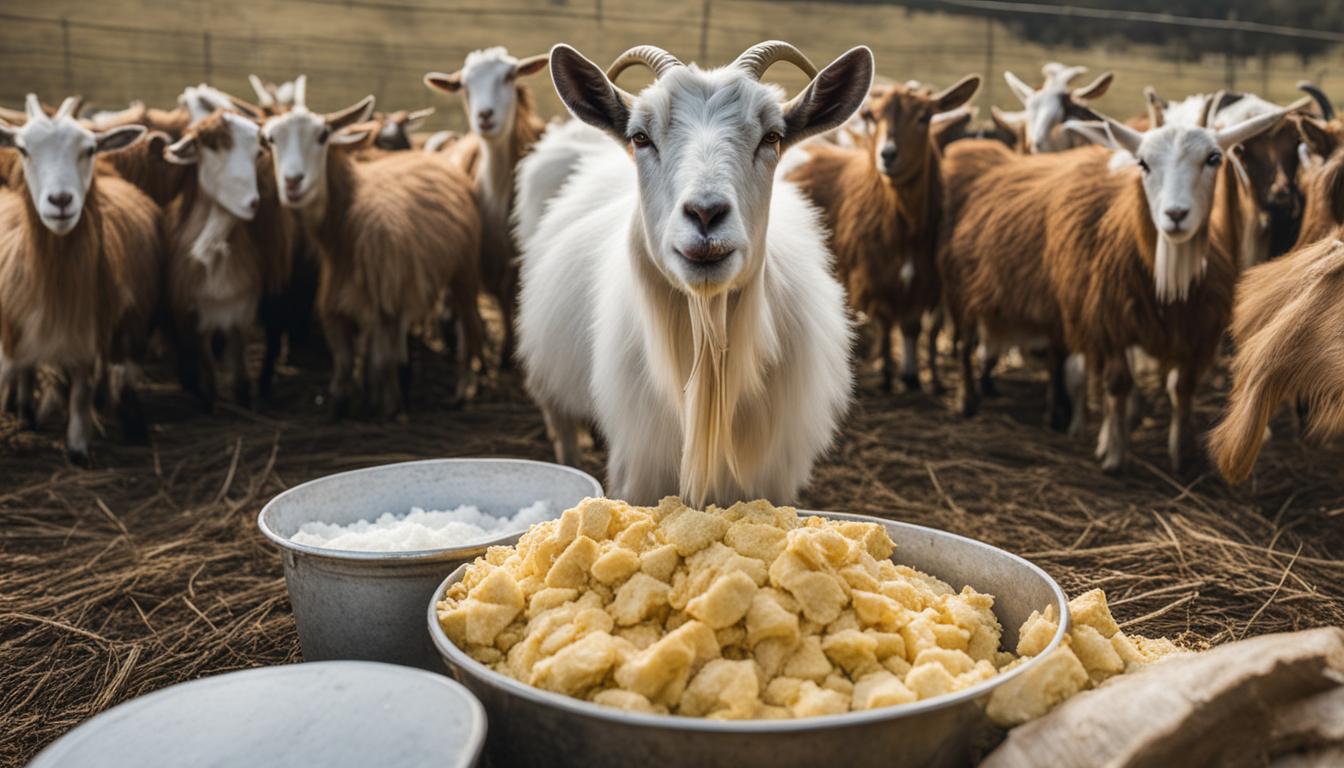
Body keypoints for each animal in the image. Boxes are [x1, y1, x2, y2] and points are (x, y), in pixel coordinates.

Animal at [0, 96, 162, 464]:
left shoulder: (86, 341)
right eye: (23, 149)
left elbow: (80, 401)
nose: (60, 201)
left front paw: (78, 448)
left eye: (90, 149)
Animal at [262, 94, 484, 417]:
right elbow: (344, 361)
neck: (349, 223)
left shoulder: (384, 301)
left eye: (322, 136)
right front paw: (342, 404)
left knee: (469, 327)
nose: (292, 182)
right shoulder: (337, 305)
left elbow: (379, 359)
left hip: (464, 270)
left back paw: (462, 389)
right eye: (271, 140)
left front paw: (389, 408)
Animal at [426, 47, 549, 368]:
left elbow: (509, 304)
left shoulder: (514, 268)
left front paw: (508, 354)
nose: (485, 115)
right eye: (463, 85)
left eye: (509, 76)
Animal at [516, 41, 870, 505]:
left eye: (772, 137)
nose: (705, 213)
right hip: (549, 376)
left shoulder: (775, 477)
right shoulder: (641, 469)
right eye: (640, 137)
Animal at [788, 75, 980, 394]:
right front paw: (888, 375)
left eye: (924, 117)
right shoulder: (869, 276)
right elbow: (886, 322)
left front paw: (911, 376)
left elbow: (912, 326)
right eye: (870, 116)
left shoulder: (924, 279)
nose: (887, 155)